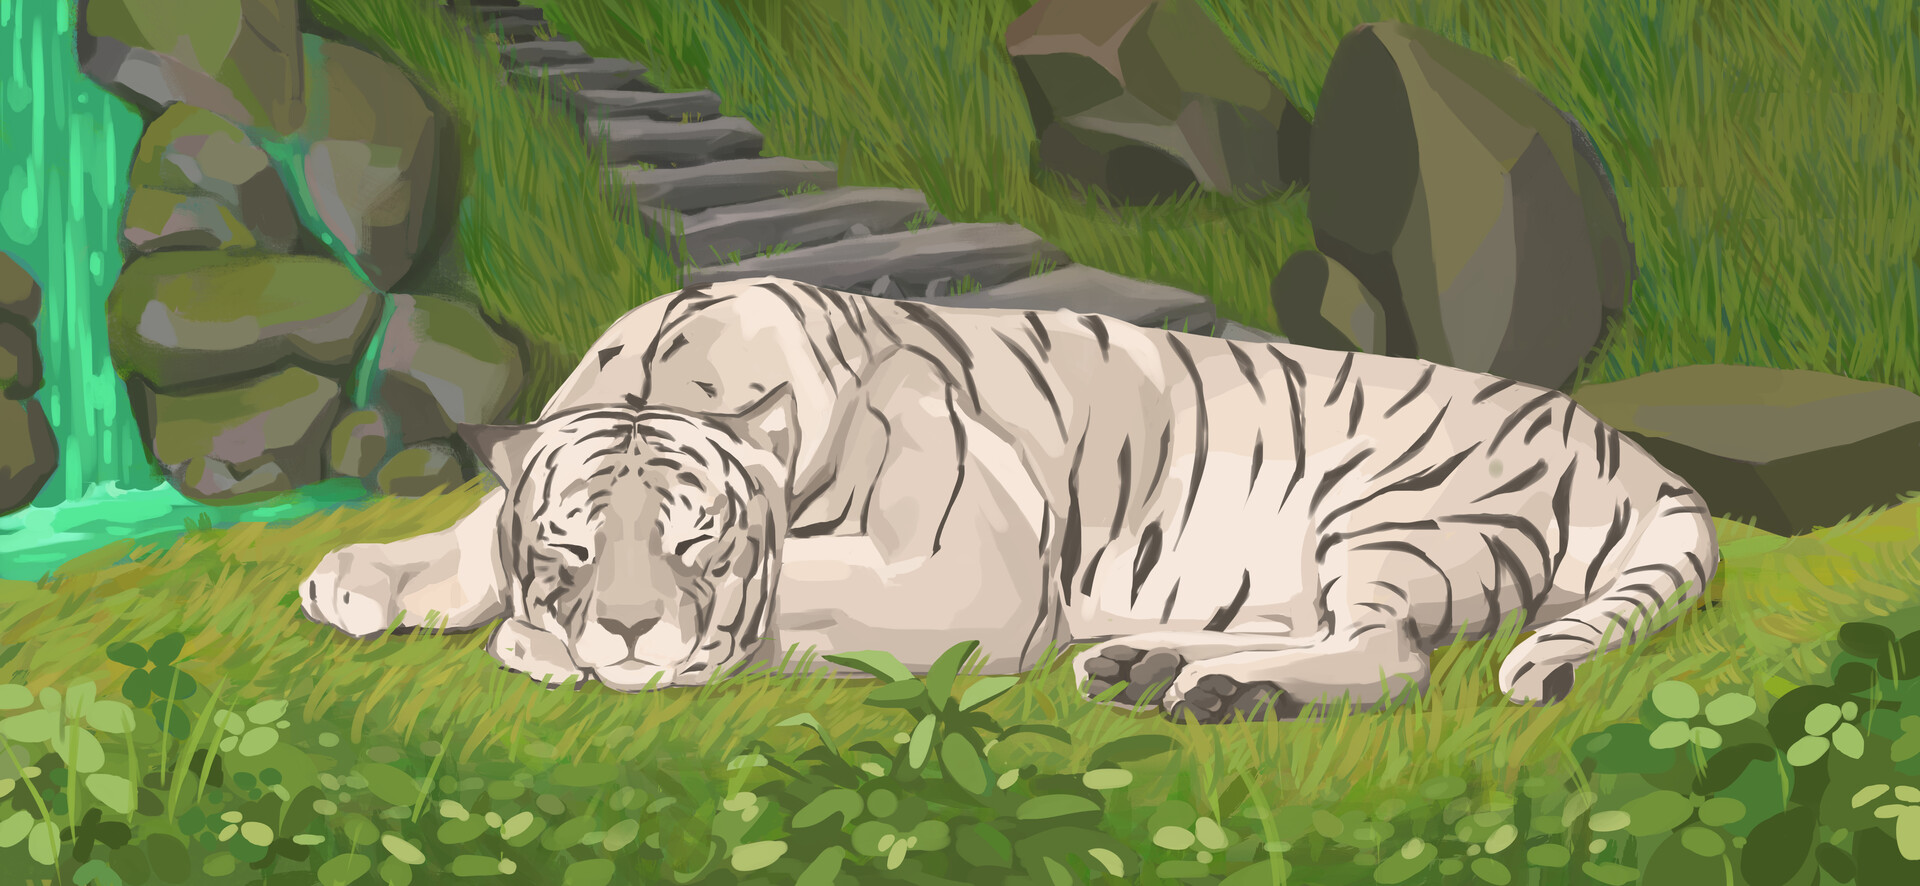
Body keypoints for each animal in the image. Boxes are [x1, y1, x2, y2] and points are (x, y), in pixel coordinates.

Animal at [297, 275, 1719, 723]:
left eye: (703, 545)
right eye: (569, 544)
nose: (630, 630)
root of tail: (1610, 435)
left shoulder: (963, 571)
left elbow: (799, 592)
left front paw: (544, 646)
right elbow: (470, 533)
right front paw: (362, 577)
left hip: (1389, 514)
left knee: (1390, 653)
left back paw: (1218, 688)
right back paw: (1150, 666)